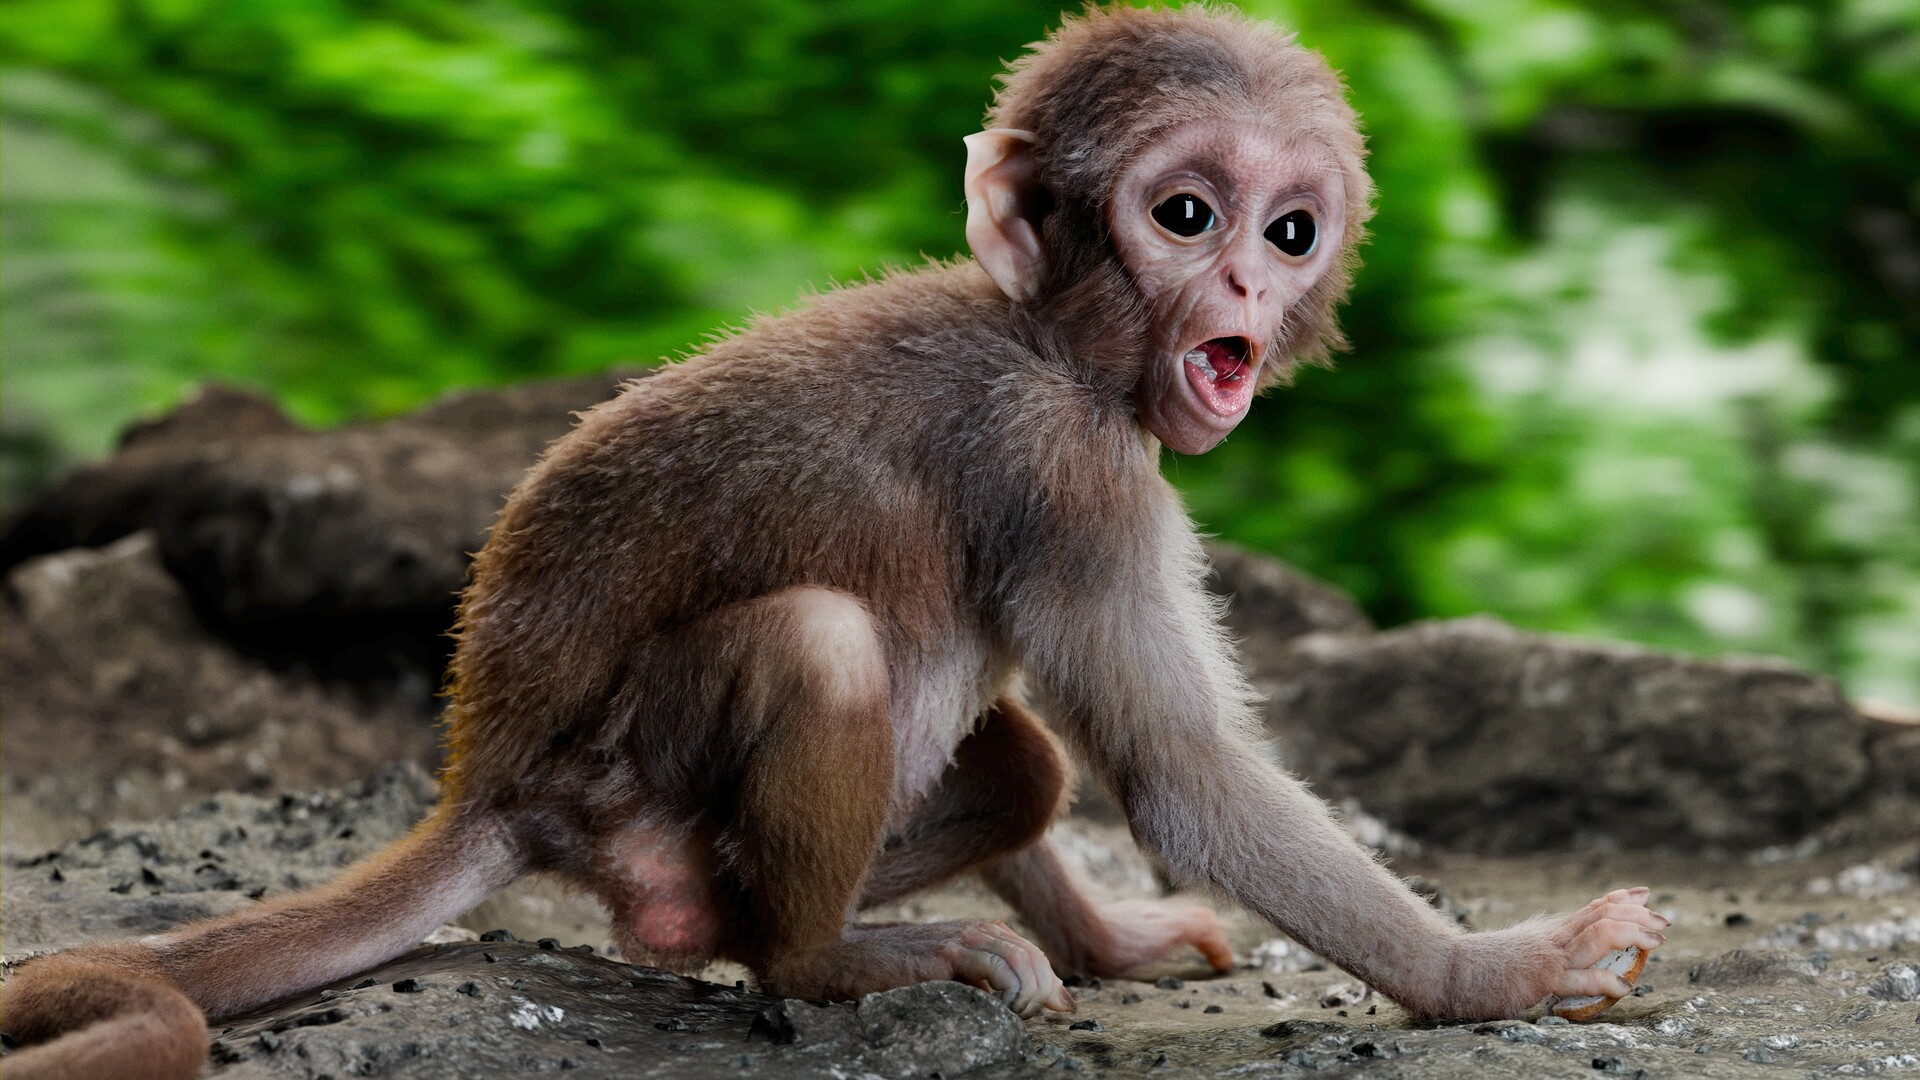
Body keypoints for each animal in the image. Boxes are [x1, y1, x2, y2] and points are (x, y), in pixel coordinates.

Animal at [1, 8, 1669, 1078]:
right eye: (1187, 214)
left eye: (1292, 229)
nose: (1249, 300)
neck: (1054, 342)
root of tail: (488, 771)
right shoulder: (1072, 470)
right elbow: (1183, 777)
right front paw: (1499, 970)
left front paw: (1111, 939)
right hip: (621, 781)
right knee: (824, 643)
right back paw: (814, 956)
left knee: (1020, 762)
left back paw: (771, 919)